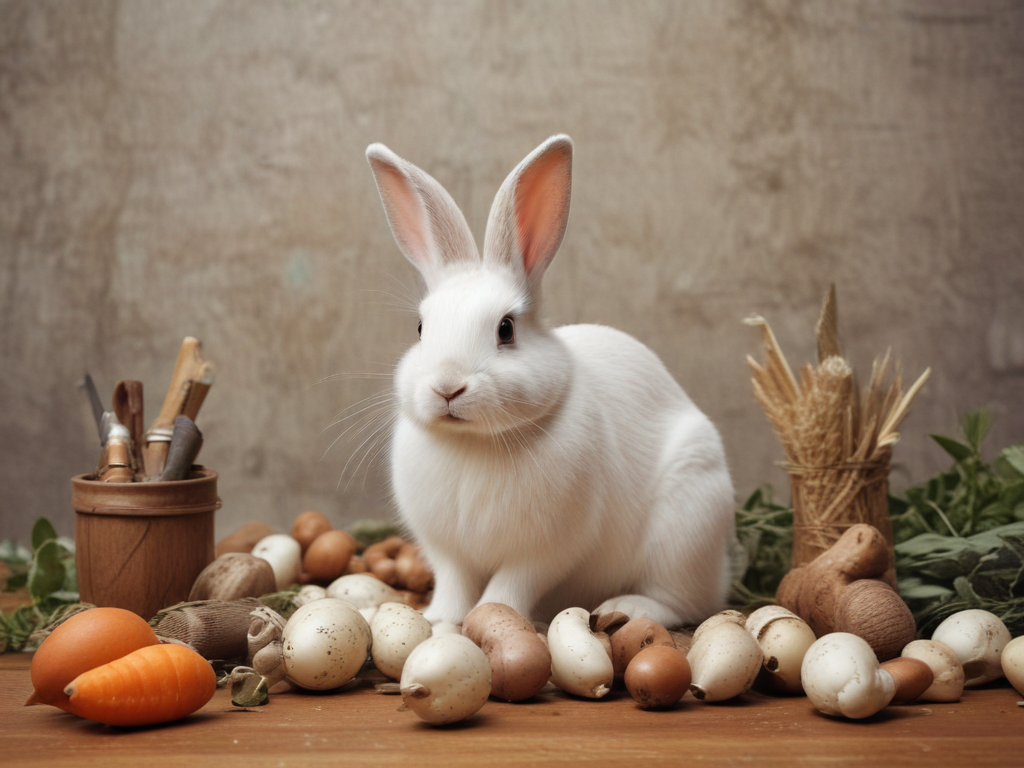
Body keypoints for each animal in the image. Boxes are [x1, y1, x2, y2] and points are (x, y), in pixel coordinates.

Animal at [365, 134, 735, 628]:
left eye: (506, 329)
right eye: (421, 329)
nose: (447, 387)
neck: (474, 444)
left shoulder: (546, 549)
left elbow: (512, 584)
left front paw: (490, 616)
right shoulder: (448, 550)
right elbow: (453, 581)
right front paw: (439, 619)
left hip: (687, 522)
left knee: (682, 601)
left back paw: (626, 608)